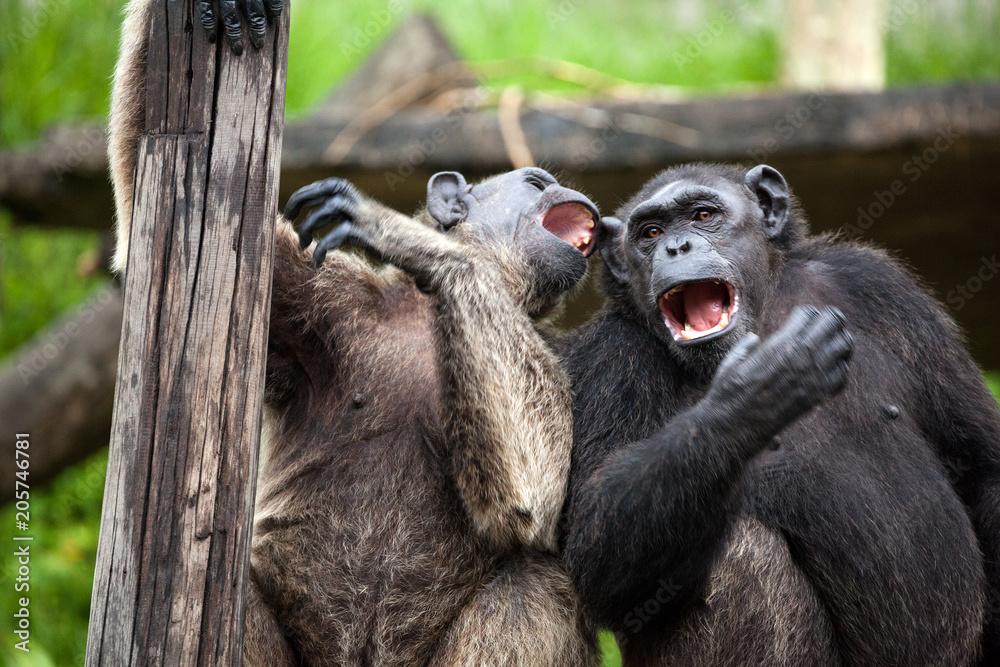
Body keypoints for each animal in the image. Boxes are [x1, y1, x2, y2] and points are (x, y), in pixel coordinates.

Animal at [109, 2, 604, 664]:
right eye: (535, 184)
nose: (571, 191)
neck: (426, 310)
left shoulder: (567, 360)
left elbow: (536, 489)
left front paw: (398, 232)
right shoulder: (317, 296)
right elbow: (154, 191)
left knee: (535, 583)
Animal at [558, 162, 1000, 665]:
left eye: (703, 214)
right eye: (650, 232)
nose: (677, 246)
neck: (765, 313)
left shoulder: (885, 290)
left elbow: (980, 463)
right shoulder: (608, 362)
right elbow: (597, 549)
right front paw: (766, 379)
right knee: (742, 552)